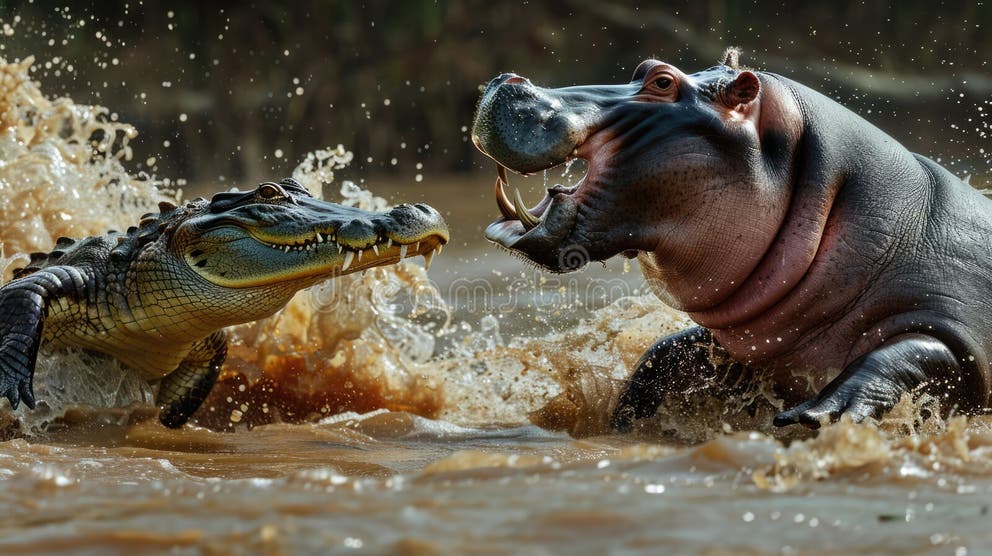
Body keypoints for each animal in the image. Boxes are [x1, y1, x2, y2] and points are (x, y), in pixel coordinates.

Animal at [471, 48, 992, 430]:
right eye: (644, 66)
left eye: (662, 81)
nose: (509, 80)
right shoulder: (754, 347)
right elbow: (663, 355)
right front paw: (622, 418)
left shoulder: (955, 329)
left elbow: (905, 355)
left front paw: (817, 414)